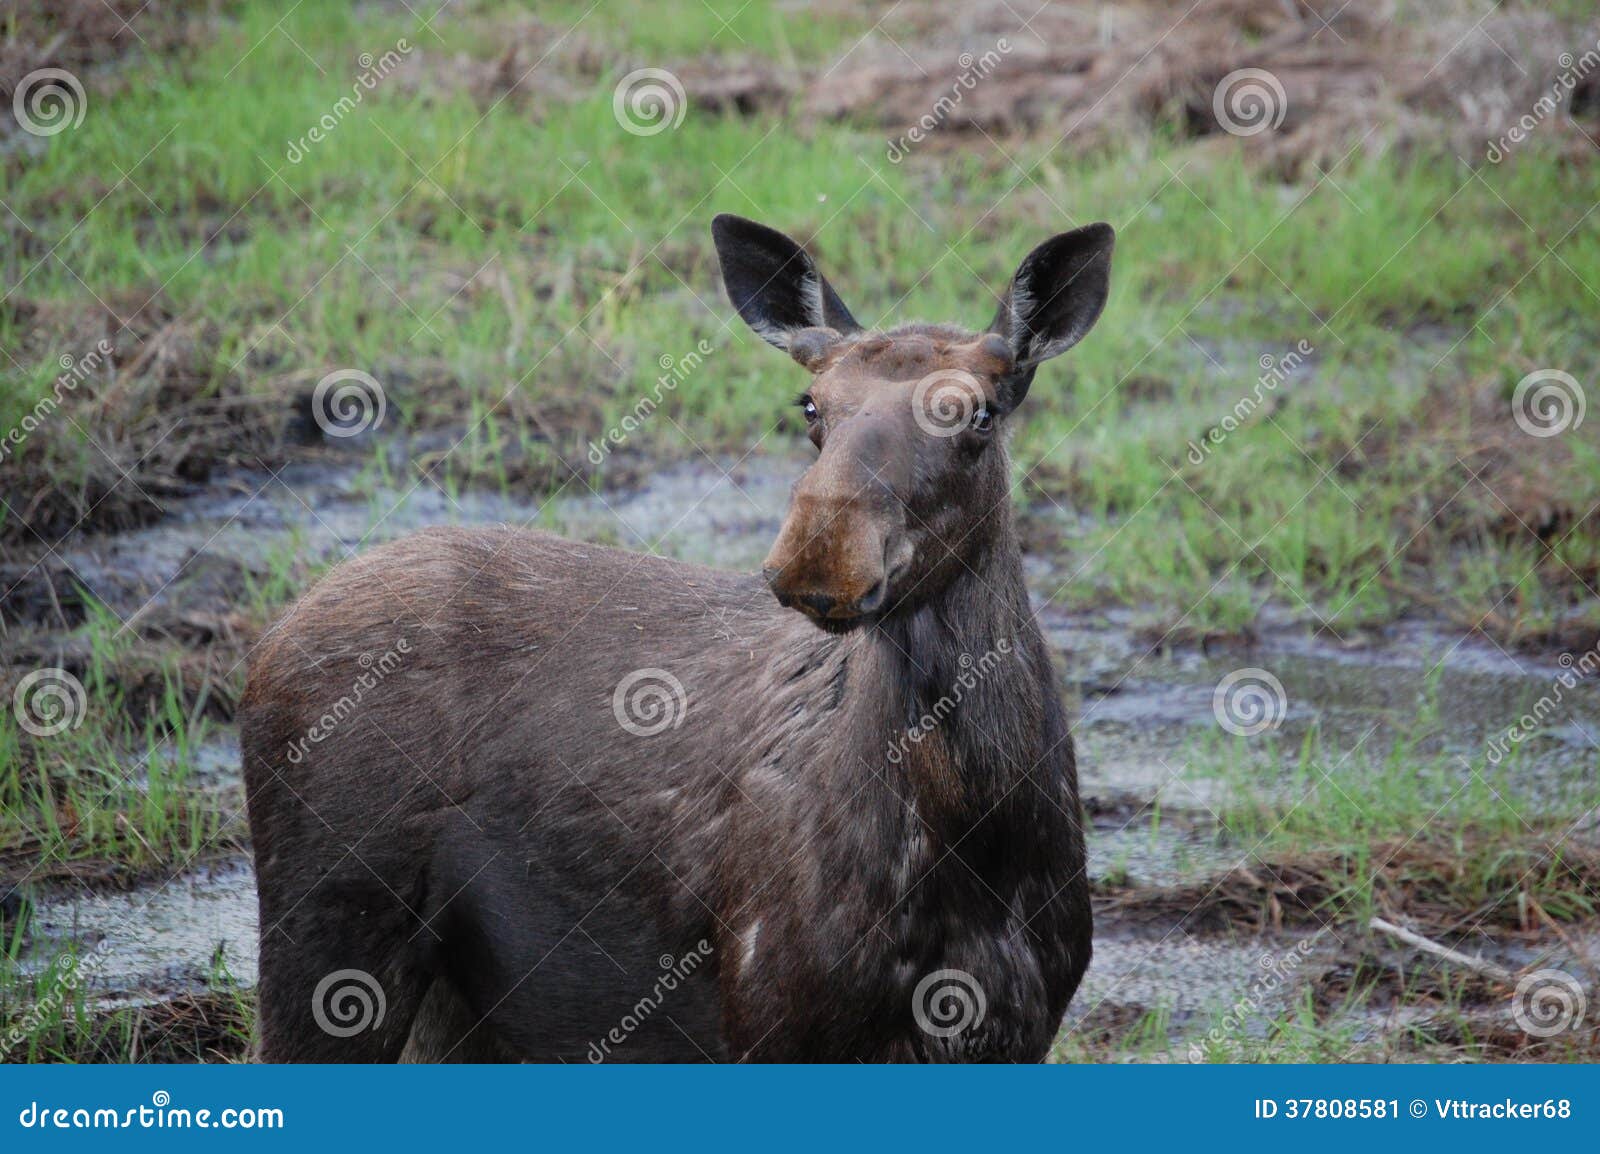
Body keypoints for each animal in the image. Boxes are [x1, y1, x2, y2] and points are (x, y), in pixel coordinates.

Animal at [241, 213, 1114, 1062]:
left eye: (979, 412)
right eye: (810, 405)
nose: (822, 552)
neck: (975, 836)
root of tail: (273, 636)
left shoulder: (1017, 1032)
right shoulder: (771, 1022)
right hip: (327, 944)